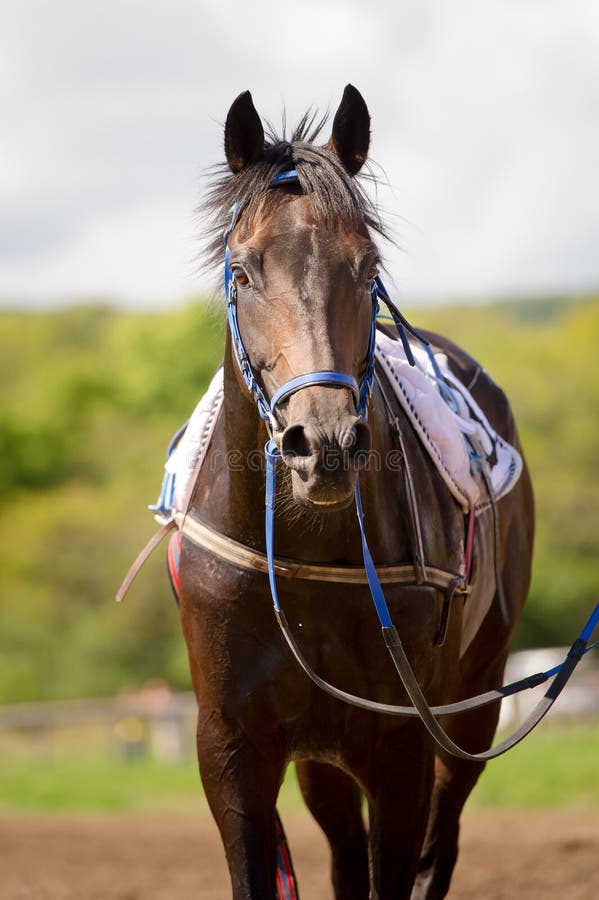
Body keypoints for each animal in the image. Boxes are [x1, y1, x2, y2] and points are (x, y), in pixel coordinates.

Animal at [176, 85, 535, 899]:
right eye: (242, 271)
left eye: (367, 266)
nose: (327, 444)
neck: (307, 559)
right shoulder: (232, 748)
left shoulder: (402, 743)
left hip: (471, 708)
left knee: (441, 846)